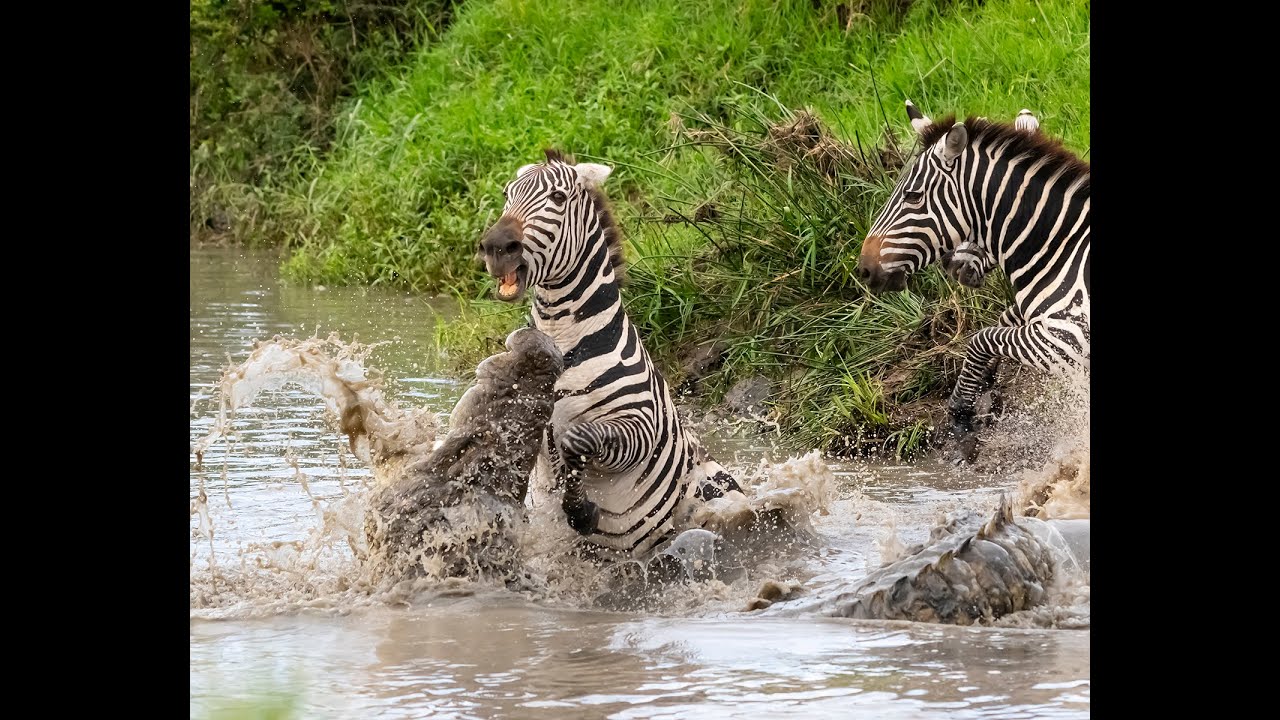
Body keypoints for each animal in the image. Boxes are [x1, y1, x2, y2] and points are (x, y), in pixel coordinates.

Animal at [477, 149, 742, 557]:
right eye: (508, 194)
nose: (495, 247)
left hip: (714, 493)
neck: (563, 338)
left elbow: (578, 440)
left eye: (557, 198)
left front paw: (581, 512)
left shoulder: (639, 425)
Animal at [856, 101, 1090, 459]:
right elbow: (1000, 324)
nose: (864, 269)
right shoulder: (1036, 318)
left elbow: (982, 338)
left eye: (912, 196)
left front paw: (961, 413)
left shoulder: (1067, 338)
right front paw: (987, 384)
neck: (1063, 247)